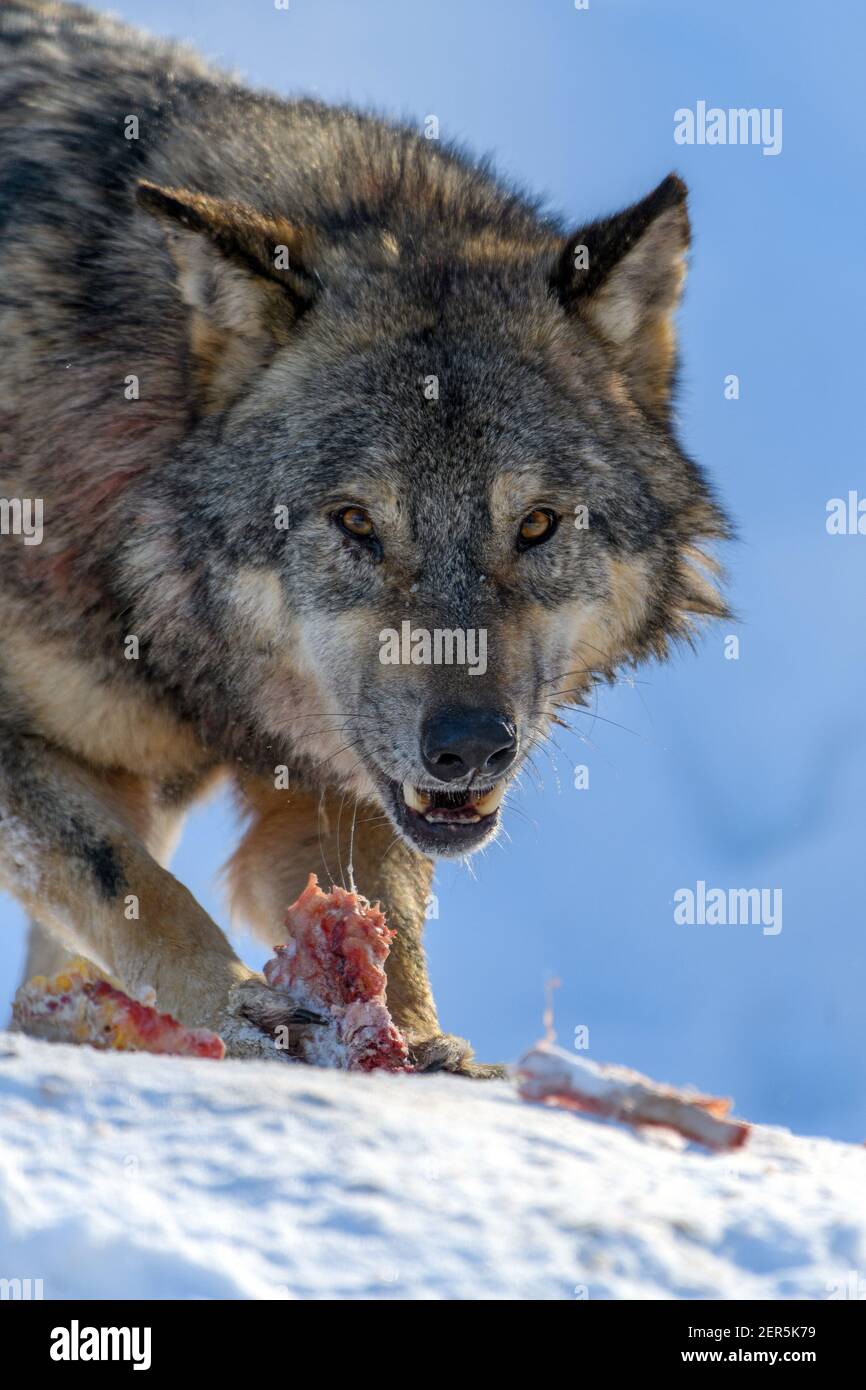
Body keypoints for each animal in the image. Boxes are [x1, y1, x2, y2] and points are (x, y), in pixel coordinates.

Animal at [0, 0, 728, 1071]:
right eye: (355, 523)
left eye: (537, 524)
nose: (470, 748)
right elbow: (131, 890)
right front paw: (242, 1012)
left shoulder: (334, 787)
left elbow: (380, 911)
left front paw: (415, 1042)